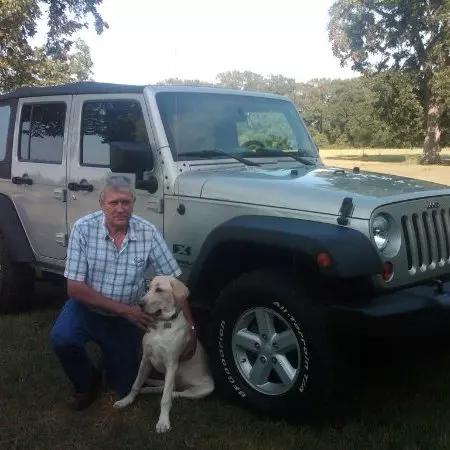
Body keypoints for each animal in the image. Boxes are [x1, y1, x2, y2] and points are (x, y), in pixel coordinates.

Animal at [115, 274, 215, 432]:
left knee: (175, 392)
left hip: (206, 388)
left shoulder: (171, 365)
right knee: (163, 386)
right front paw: (126, 401)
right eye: (147, 288)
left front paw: (163, 422)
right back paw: (149, 387)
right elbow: (136, 383)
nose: (140, 304)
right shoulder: (145, 359)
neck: (161, 325)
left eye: (159, 290)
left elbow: (165, 398)